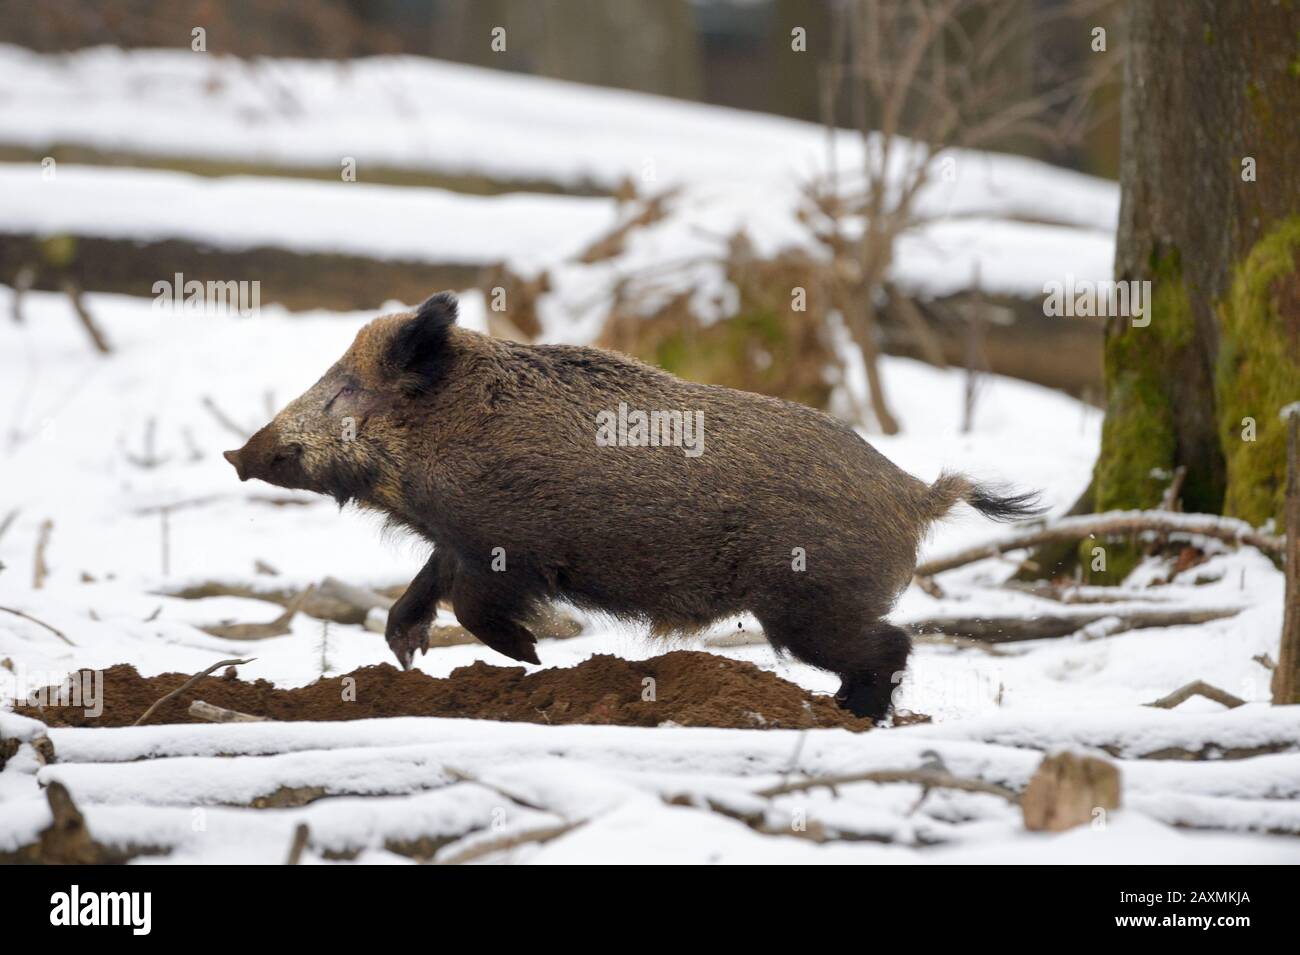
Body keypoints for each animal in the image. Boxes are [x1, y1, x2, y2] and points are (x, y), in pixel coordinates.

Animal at [224, 292, 1041, 720]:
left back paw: (848, 714)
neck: (446, 434)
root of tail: (916, 495)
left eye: (346, 389)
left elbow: (476, 606)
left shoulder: (505, 548)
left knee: (890, 644)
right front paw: (405, 652)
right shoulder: (454, 541)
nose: (237, 455)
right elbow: (421, 589)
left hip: (810, 602)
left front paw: (533, 656)